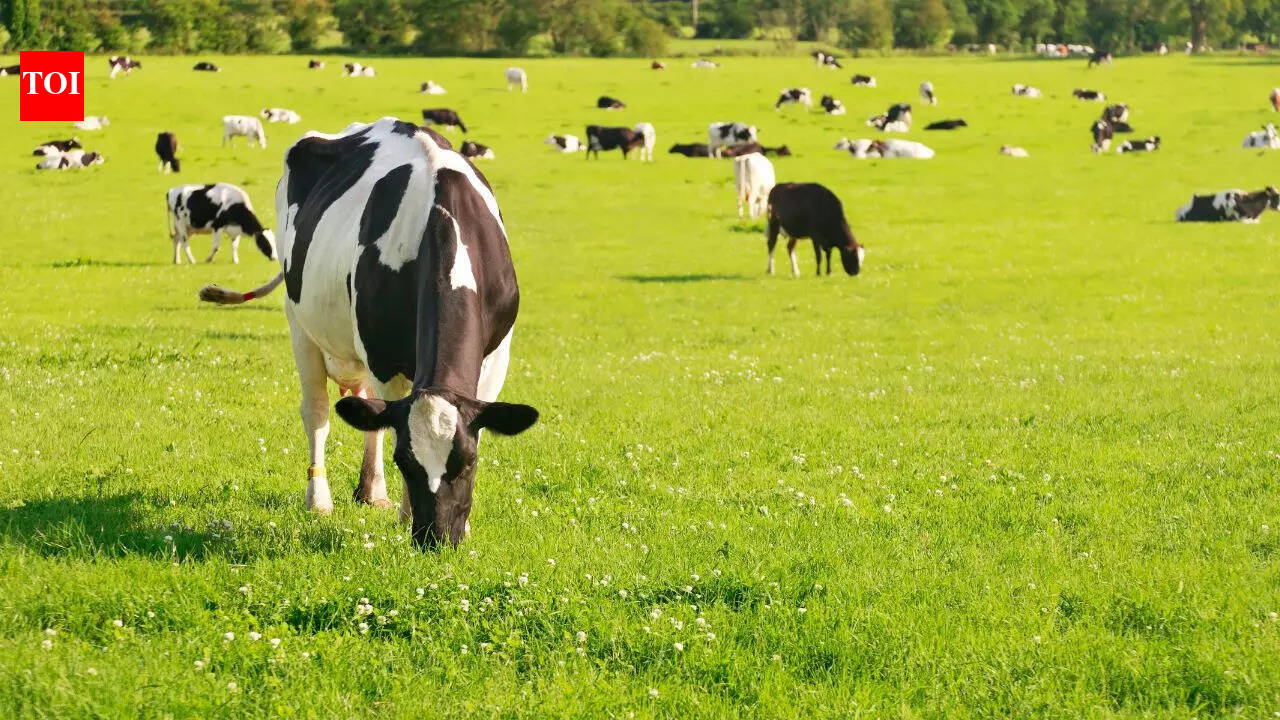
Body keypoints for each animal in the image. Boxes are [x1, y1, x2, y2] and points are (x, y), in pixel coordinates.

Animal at [196, 118, 539, 548]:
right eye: (404, 462)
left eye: (468, 460)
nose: (437, 539)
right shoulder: (383, 356)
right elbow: (387, 423)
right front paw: (406, 515)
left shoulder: (496, 359)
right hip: (301, 326)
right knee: (319, 413)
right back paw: (319, 498)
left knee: (365, 407)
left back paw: (371, 492)